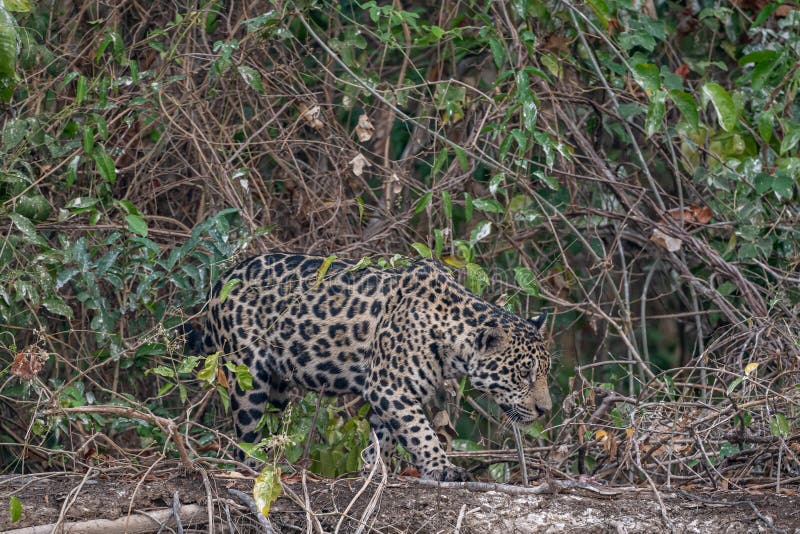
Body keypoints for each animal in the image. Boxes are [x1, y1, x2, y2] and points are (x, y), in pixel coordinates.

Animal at [192, 252, 552, 481]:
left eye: (544, 373)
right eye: (523, 374)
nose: (545, 410)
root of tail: (220, 281)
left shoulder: (388, 394)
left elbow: (386, 436)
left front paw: (372, 470)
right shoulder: (389, 387)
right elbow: (420, 432)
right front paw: (442, 469)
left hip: (278, 385)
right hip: (247, 376)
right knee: (245, 437)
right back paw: (253, 466)